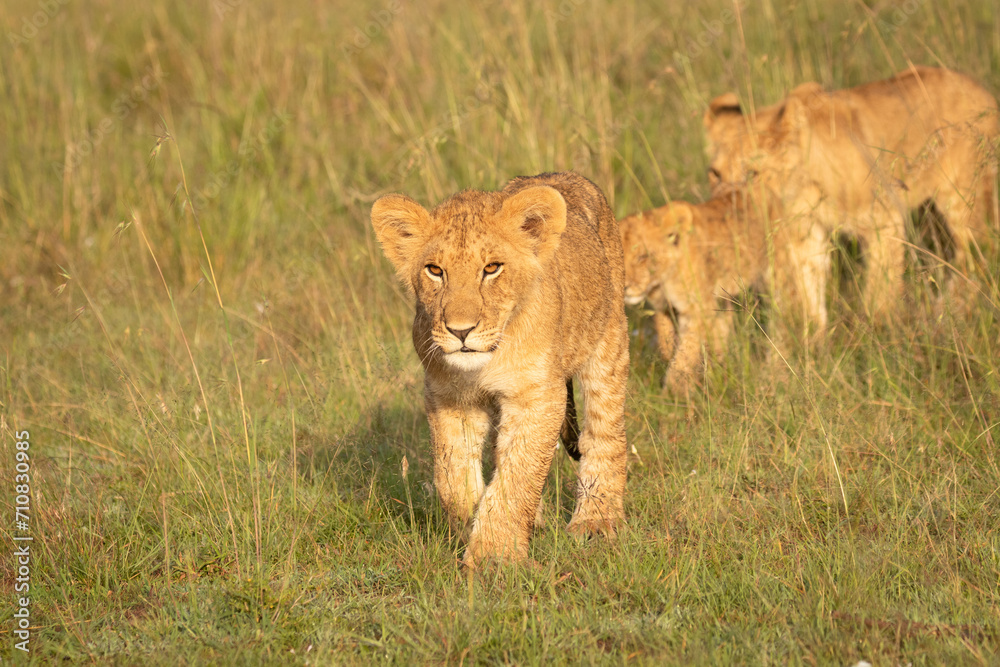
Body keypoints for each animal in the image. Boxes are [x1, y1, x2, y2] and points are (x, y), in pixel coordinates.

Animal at [371, 172, 629, 567]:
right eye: (435, 270)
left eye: (491, 268)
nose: (460, 331)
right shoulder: (449, 397)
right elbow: (454, 478)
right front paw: (475, 527)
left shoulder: (537, 396)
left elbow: (518, 474)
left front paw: (495, 556)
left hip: (608, 340)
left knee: (605, 432)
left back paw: (596, 522)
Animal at [621, 189, 792, 393]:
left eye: (642, 257)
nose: (624, 287)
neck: (662, 281)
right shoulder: (664, 308)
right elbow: (665, 340)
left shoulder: (697, 310)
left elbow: (685, 353)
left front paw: (674, 391)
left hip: (775, 277)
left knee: (782, 321)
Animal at [704, 66, 999, 321]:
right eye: (715, 173)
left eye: (752, 173)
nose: (725, 209)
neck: (804, 187)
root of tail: (980, 88)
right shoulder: (806, 236)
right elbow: (810, 300)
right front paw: (813, 347)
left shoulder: (885, 220)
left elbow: (880, 293)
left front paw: (880, 332)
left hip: (964, 198)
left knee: (978, 252)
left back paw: (951, 308)